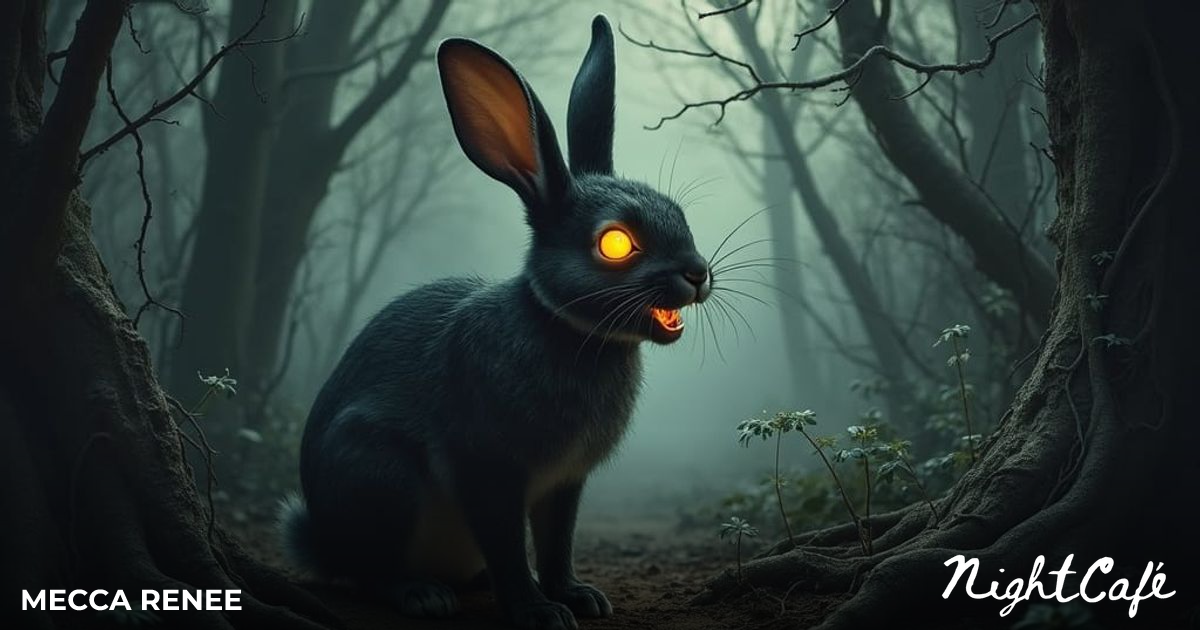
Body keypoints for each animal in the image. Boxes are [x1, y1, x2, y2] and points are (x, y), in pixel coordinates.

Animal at [278, 14, 711, 630]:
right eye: (616, 242)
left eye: (678, 213)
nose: (698, 274)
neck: (564, 328)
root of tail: (323, 543)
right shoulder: (487, 470)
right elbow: (507, 543)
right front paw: (539, 612)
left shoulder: (564, 483)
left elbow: (557, 542)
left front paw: (579, 597)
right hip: (378, 474)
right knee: (372, 570)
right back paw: (421, 594)